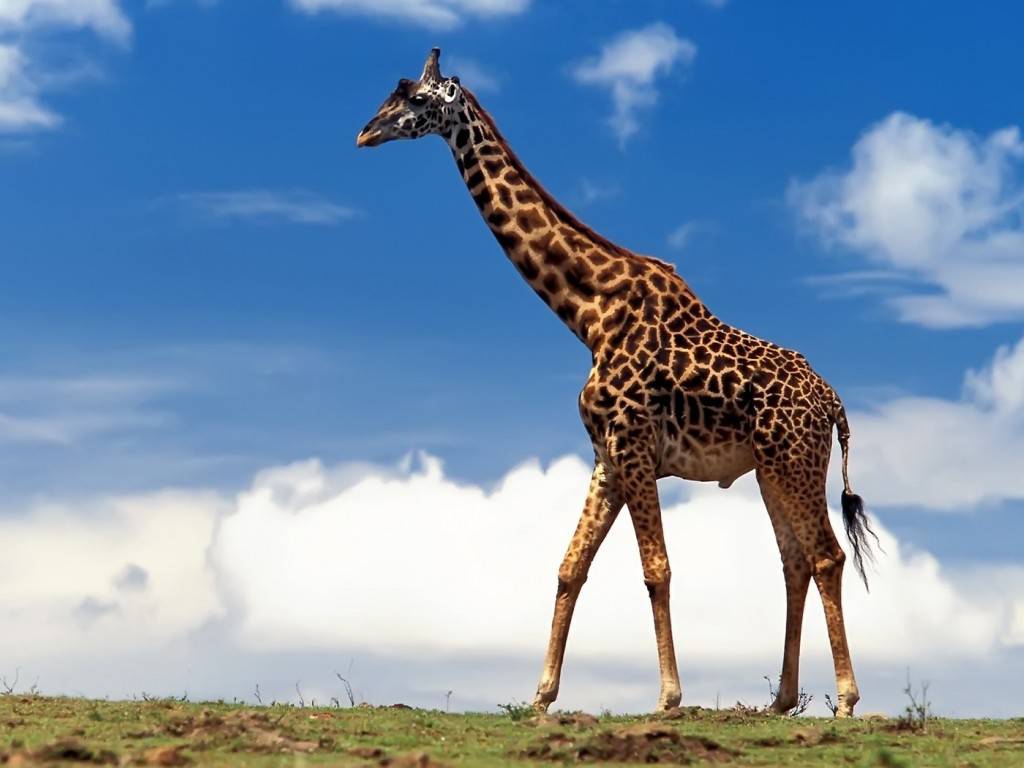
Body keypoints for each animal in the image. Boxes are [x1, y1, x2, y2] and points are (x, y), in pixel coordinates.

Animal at [357, 49, 877, 718]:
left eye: (415, 98)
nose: (365, 133)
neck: (587, 314)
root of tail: (834, 402)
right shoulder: (606, 454)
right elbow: (569, 567)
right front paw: (541, 696)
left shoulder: (633, 445)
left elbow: (657, 568)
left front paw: (669, 697)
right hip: (771, 468)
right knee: (794, 562)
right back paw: (782, 700)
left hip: (794, 461)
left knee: (826, 556)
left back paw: (845, 700)